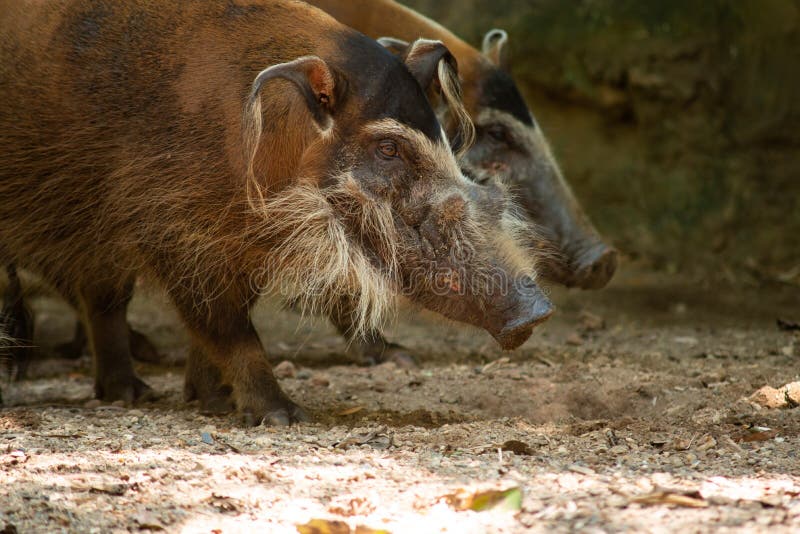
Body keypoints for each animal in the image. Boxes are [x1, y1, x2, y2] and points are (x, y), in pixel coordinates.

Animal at [0, 0, 552, 424]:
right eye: (389, 148)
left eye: (443, 143)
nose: (539, 311)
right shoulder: (177, 233)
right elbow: (228, 326)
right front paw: (282, 416)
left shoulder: (246, 242)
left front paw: (213, 401)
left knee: (101, 297)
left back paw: (130, 391)